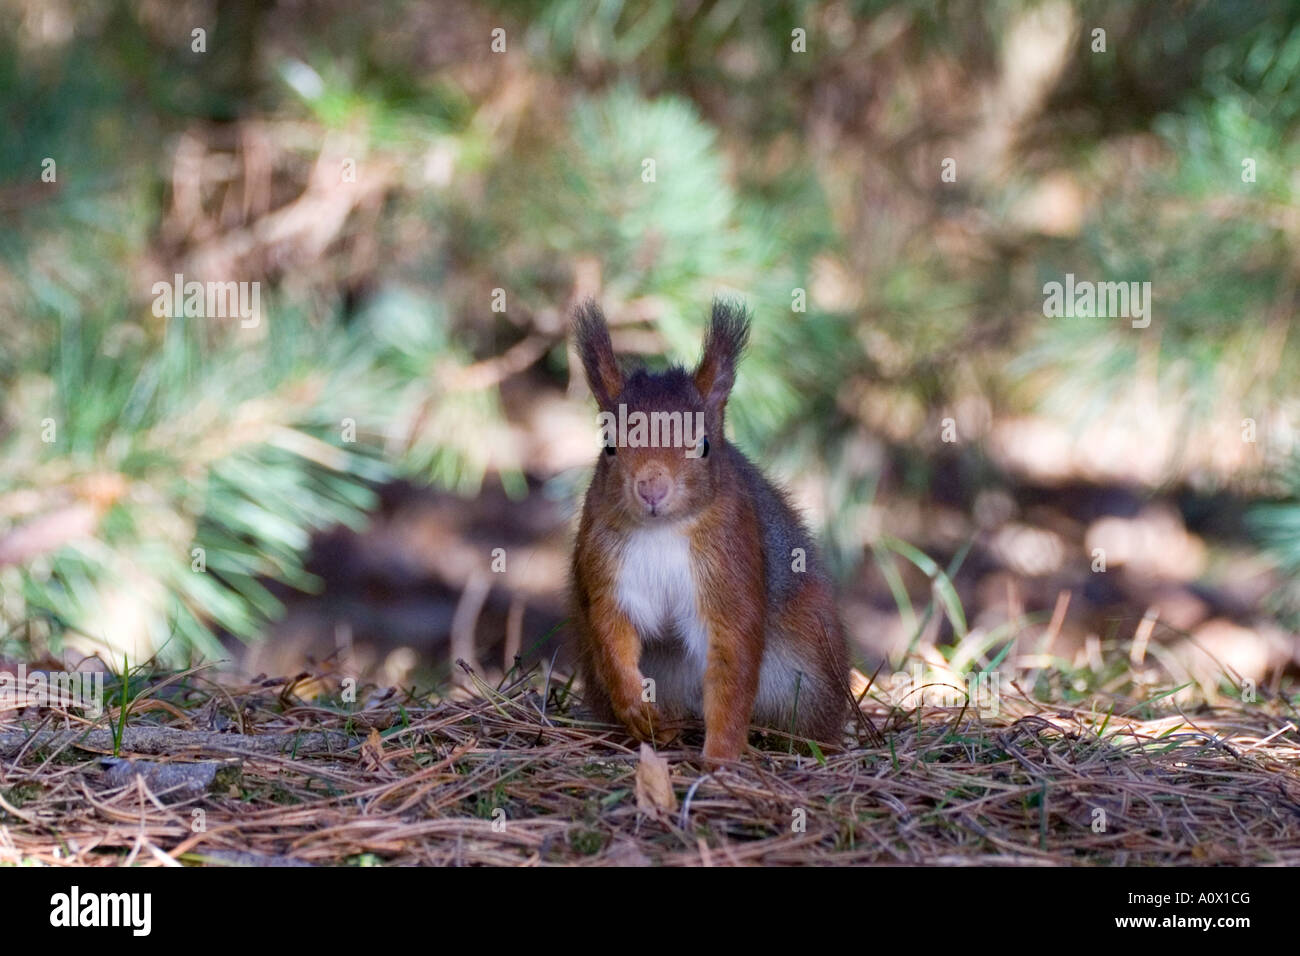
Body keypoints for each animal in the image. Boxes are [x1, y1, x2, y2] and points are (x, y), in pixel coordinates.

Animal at [570, 298, 850, 762]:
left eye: (701, 444)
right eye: (609, 444)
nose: (652, 488)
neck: (662, 531)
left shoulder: (729, 565)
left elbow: (732, 664)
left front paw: (720, 757)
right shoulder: (607, 566)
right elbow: (612, 635)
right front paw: (638, 711)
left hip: (807, 672)